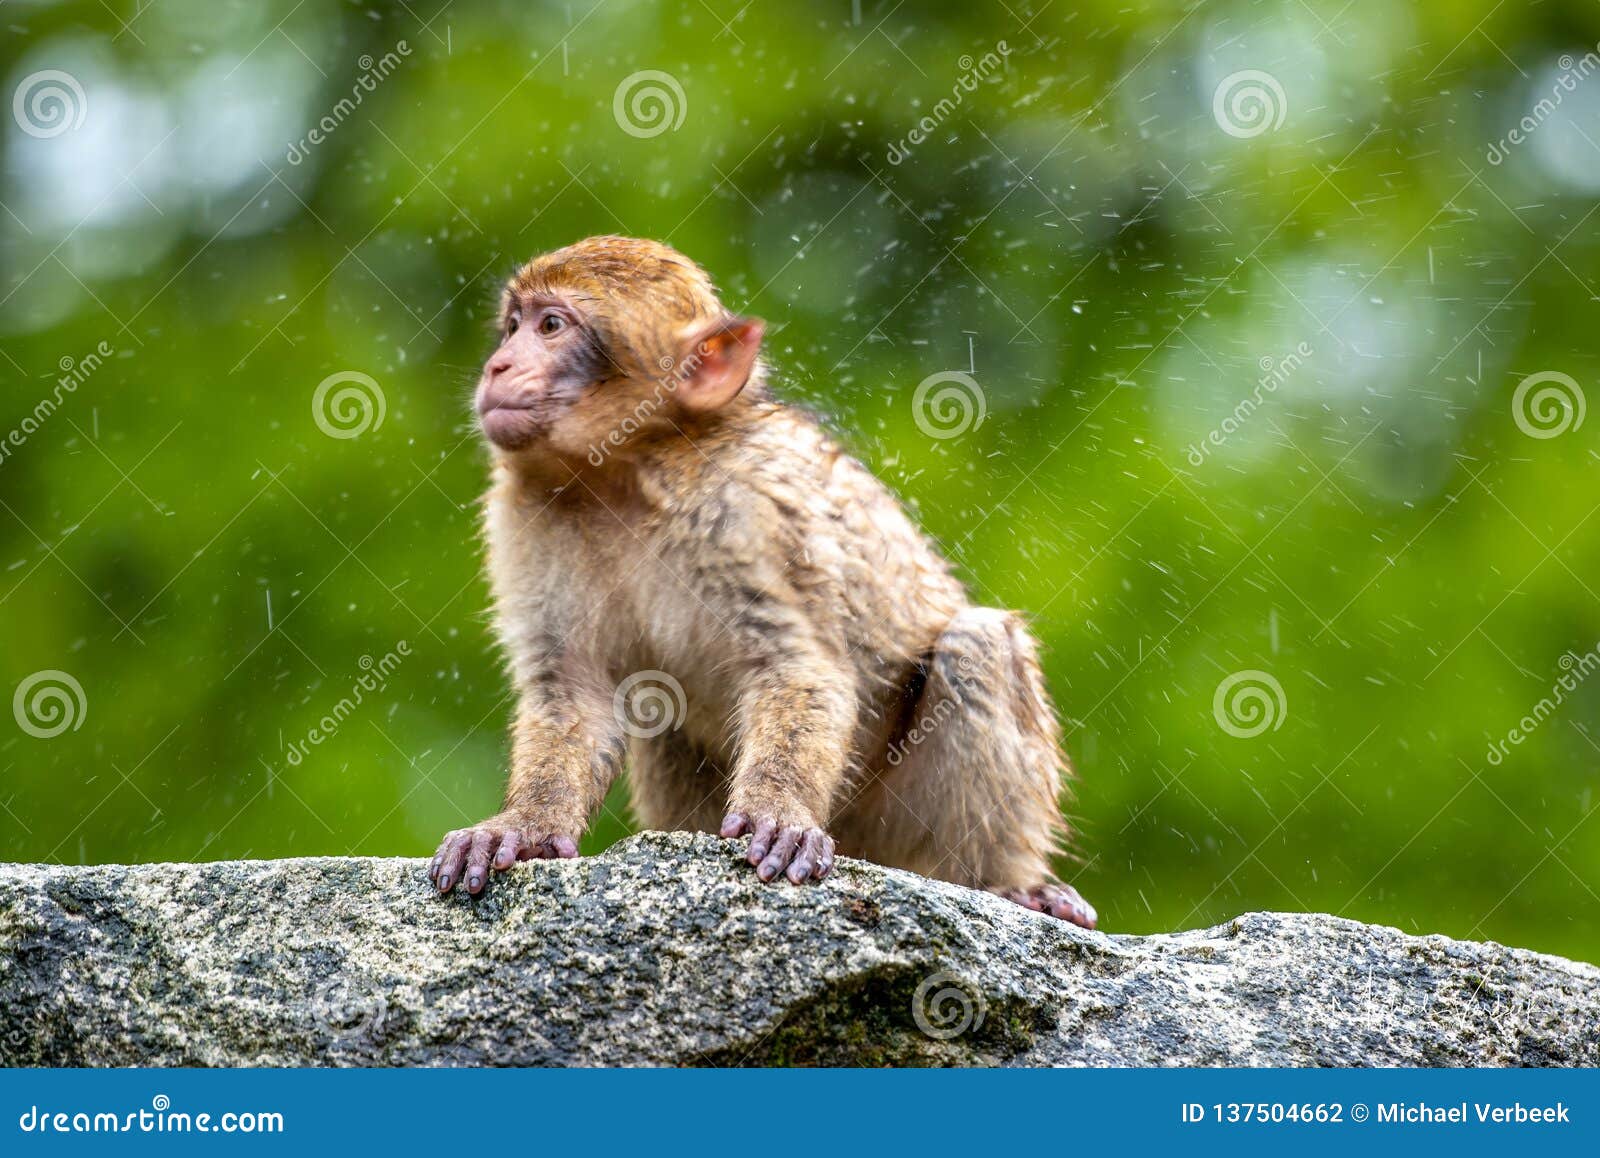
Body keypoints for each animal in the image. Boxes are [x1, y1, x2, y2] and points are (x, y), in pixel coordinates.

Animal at [428, 235, 1096, 928]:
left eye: (552, 326)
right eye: (513, 325)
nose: (498, 365)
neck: (622, 473)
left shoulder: (750, 514)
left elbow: (798, 666)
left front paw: (780, 813)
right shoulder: (526, 520)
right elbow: (571, 692)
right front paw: (523, 825)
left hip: (892, 834)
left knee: (978, 643)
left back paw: (1005, 885)